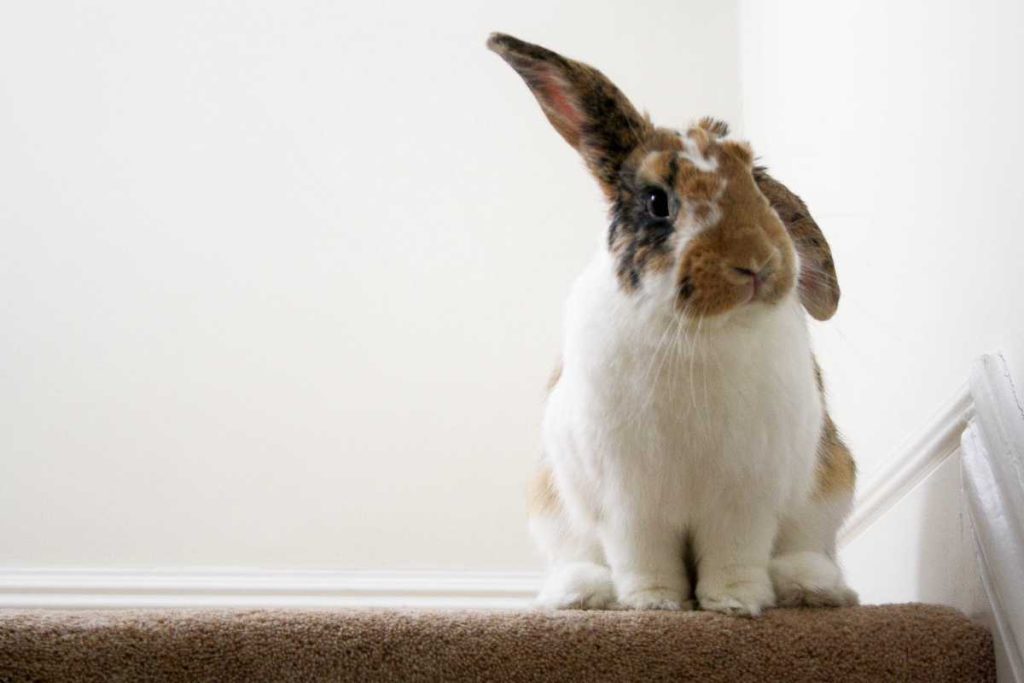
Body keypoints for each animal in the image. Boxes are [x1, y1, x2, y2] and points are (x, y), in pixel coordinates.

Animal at [488, 33, 858, 616]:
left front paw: (734, 603)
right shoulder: (629, 498)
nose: (756, 262)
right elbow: (645, 555)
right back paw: (580, 593)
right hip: (551, 505)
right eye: (657, 201)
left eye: (756, 182)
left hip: (830, 488)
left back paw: (811, 586)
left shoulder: (746, 493)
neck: (702, 333)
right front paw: (655, 604)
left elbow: (735, 554)